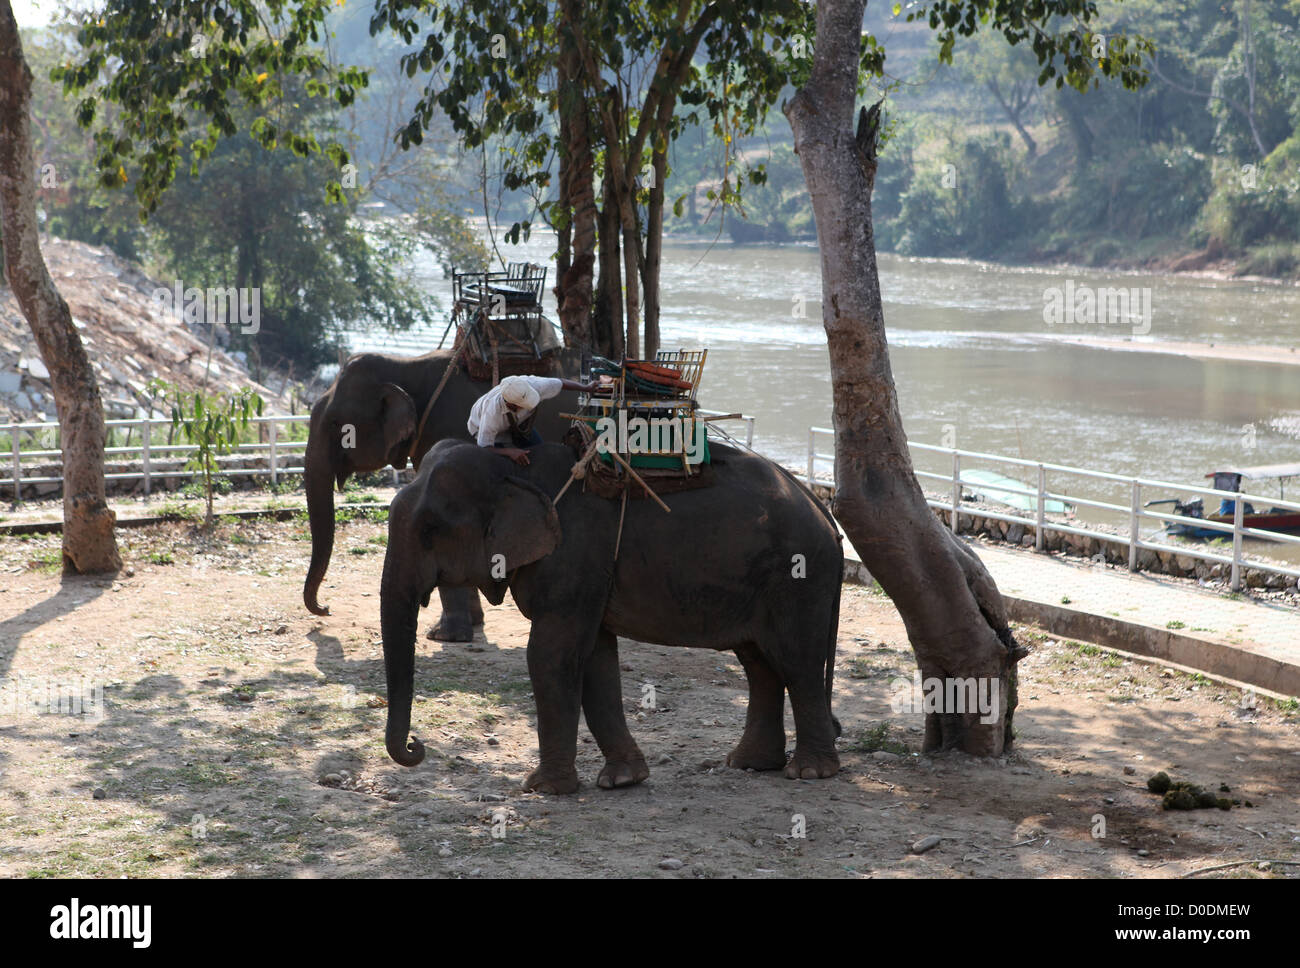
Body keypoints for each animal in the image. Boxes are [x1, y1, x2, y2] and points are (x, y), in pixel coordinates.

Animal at [379, 437, 844, 794]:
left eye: (429, 530)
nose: (417, 746)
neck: (510, 465)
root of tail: (823, 510)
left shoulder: (575, 555)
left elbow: (550, 655)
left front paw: (543, 789)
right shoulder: (590, 574)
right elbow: (594, 658)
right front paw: (623, 781)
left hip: (797, 576)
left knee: (797, 660)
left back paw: (809, 772)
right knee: (760, 663)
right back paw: (749, 764)